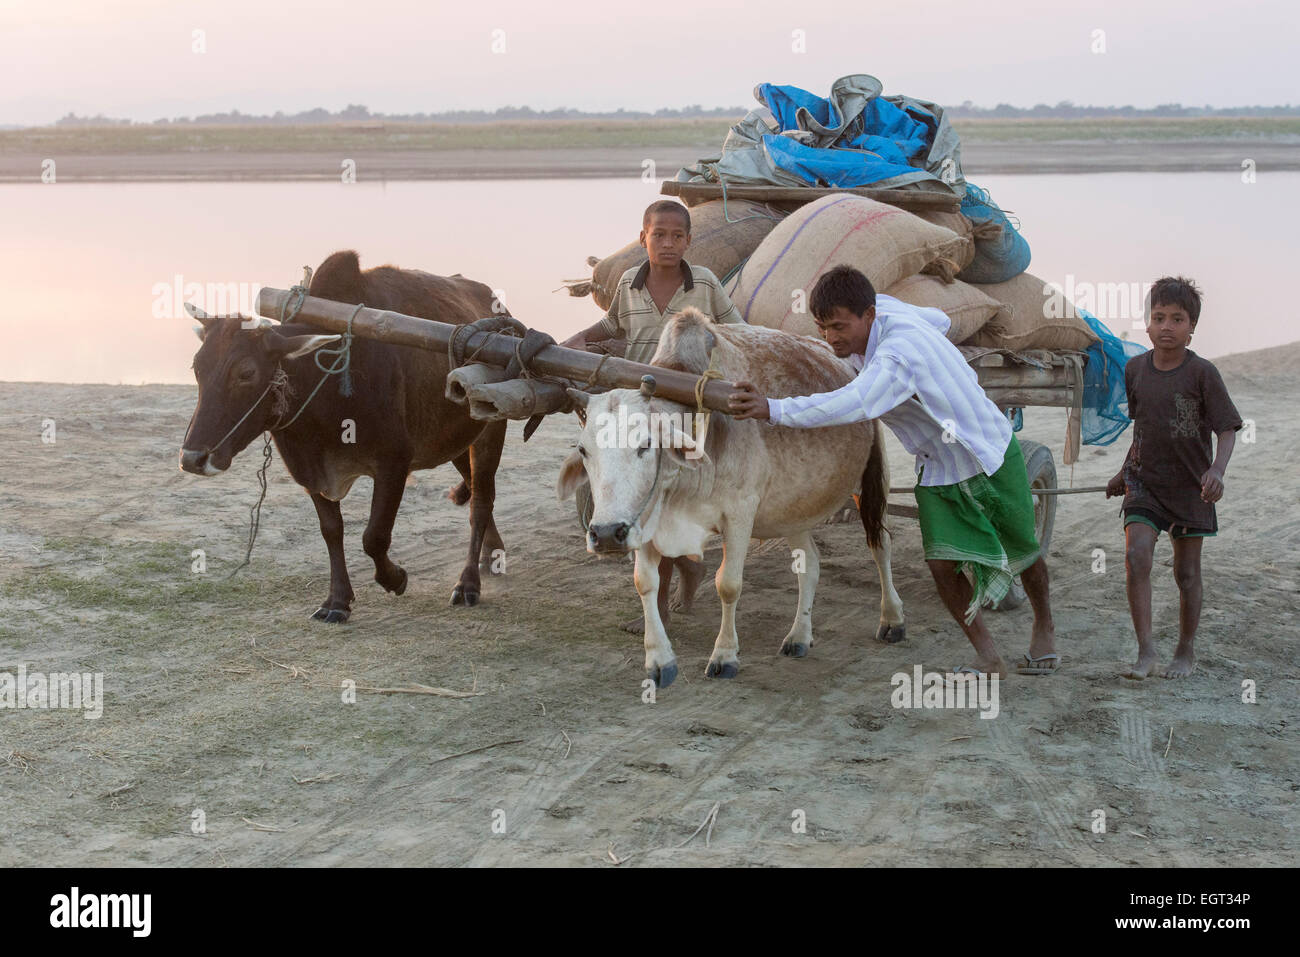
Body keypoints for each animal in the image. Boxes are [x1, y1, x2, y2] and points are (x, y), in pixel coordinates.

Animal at [180, 250, 507, 620]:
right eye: (197, 367)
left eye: (246, 372)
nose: (192, 459)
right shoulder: (309, 471)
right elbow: (331, 531)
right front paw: (337, 601)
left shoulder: (394, 462)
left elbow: (374, 536)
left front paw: (395, 578)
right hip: (458, 441)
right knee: (476, 493)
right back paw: (491, 554)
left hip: (491, 430)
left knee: (481, 501)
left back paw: (468, 583)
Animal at [556, 307, 905, 687]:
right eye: (583, 450)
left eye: (645, 444)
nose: (606, 534)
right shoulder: (648, 518)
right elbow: (645, 583)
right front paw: (659, 661)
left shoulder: (739, 515)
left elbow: (728, 584)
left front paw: (724, 656)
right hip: (794, 508)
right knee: (810, 564)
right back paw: (799, 636)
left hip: (870, 484)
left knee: (881, 546)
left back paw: (892, 620)